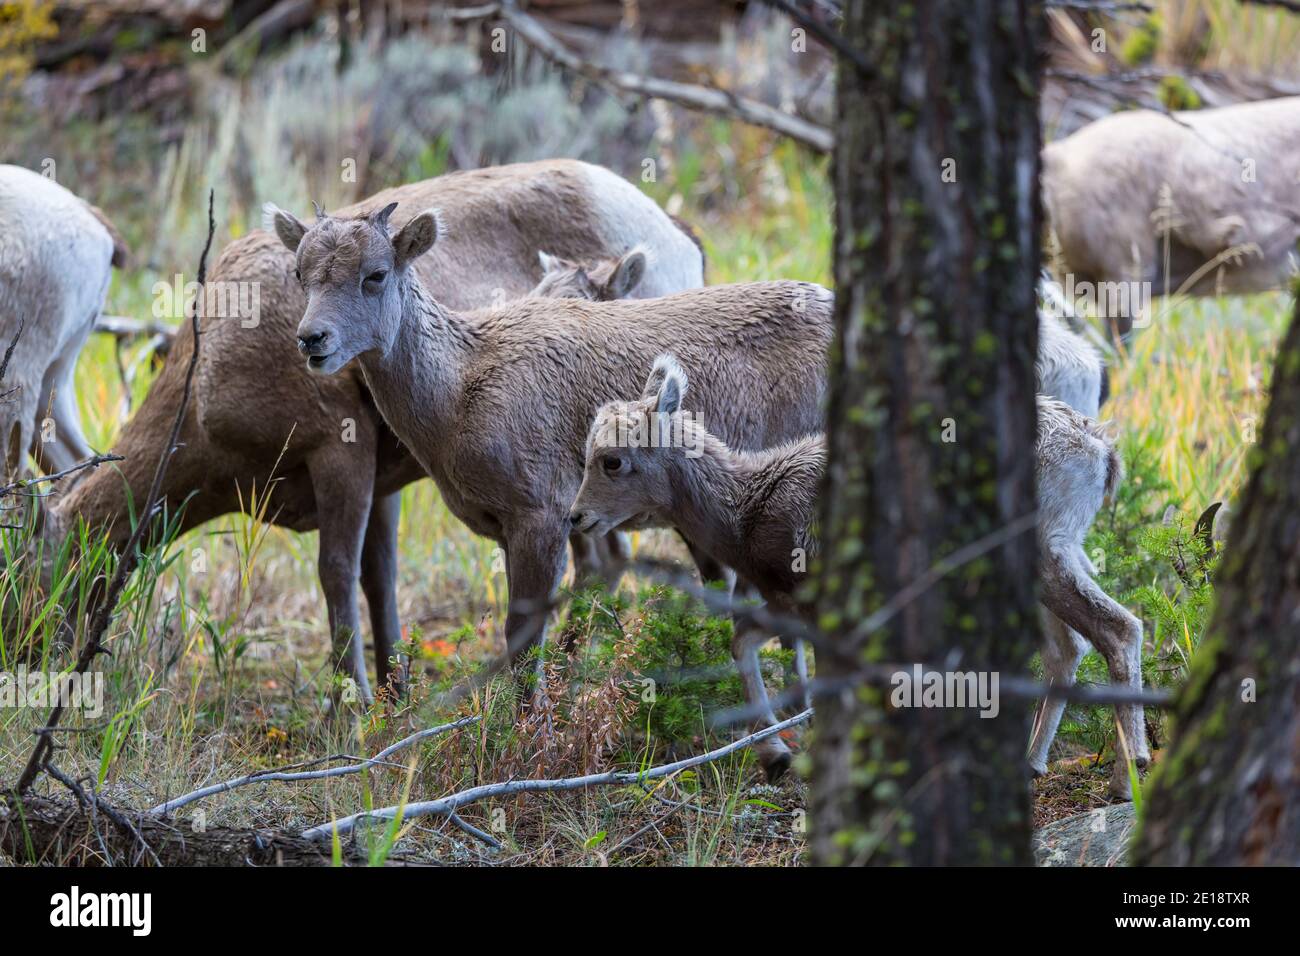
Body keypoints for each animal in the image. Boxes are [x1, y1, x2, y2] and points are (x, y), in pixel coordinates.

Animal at [30, 160, 704, 704]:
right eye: (301, 275)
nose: (28, 657)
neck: (201, 411)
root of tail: (681, 240)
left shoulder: (338, 451)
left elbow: (337, 574)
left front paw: (347, 709)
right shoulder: (384, 481)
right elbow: (379, 579)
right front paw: (392, 692)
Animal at [268, 200, 833, 712]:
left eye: (376, 274)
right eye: (301, 273)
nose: (312, 339)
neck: (459, 392)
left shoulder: (541, 516)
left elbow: (523, 635)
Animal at [570, 357, 1149, 795]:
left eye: (612, 460)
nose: (576, 517)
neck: (747, 511)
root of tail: (1104, 456)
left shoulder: (813, 601)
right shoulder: (791, 604)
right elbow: (747, 645)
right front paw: (779, 757)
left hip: (1045, 546)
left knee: (1119, 629)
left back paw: (1127, 777)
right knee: (1068, 648)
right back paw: (1033, 763)